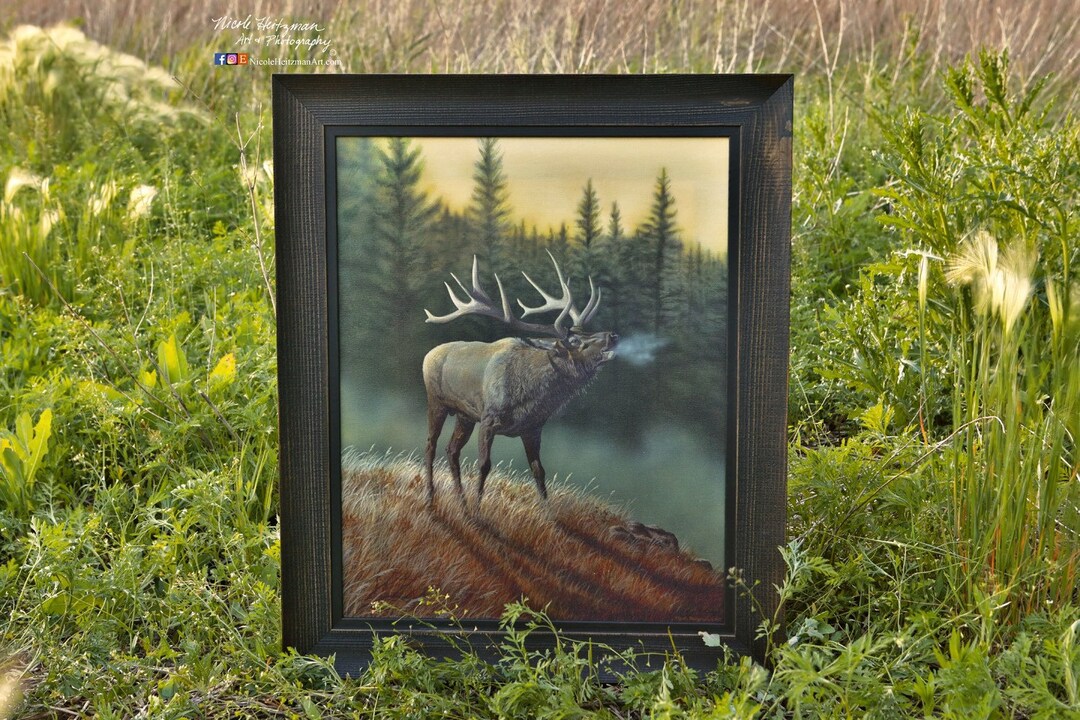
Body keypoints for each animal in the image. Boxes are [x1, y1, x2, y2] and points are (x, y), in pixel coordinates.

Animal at [422, 252, 618, 507]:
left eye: (588, 332)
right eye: (575, 342)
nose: (612, 335)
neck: (531, 397)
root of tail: (427, 355)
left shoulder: (533, 428)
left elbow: (539, 471)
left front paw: (547, 511)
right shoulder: (488, 419)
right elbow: (484, 466)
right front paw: (477, 509)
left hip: (465, 416)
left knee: (451, 450)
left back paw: (461, 503)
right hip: (437, 402)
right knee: (431, 445)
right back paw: (430, 498)